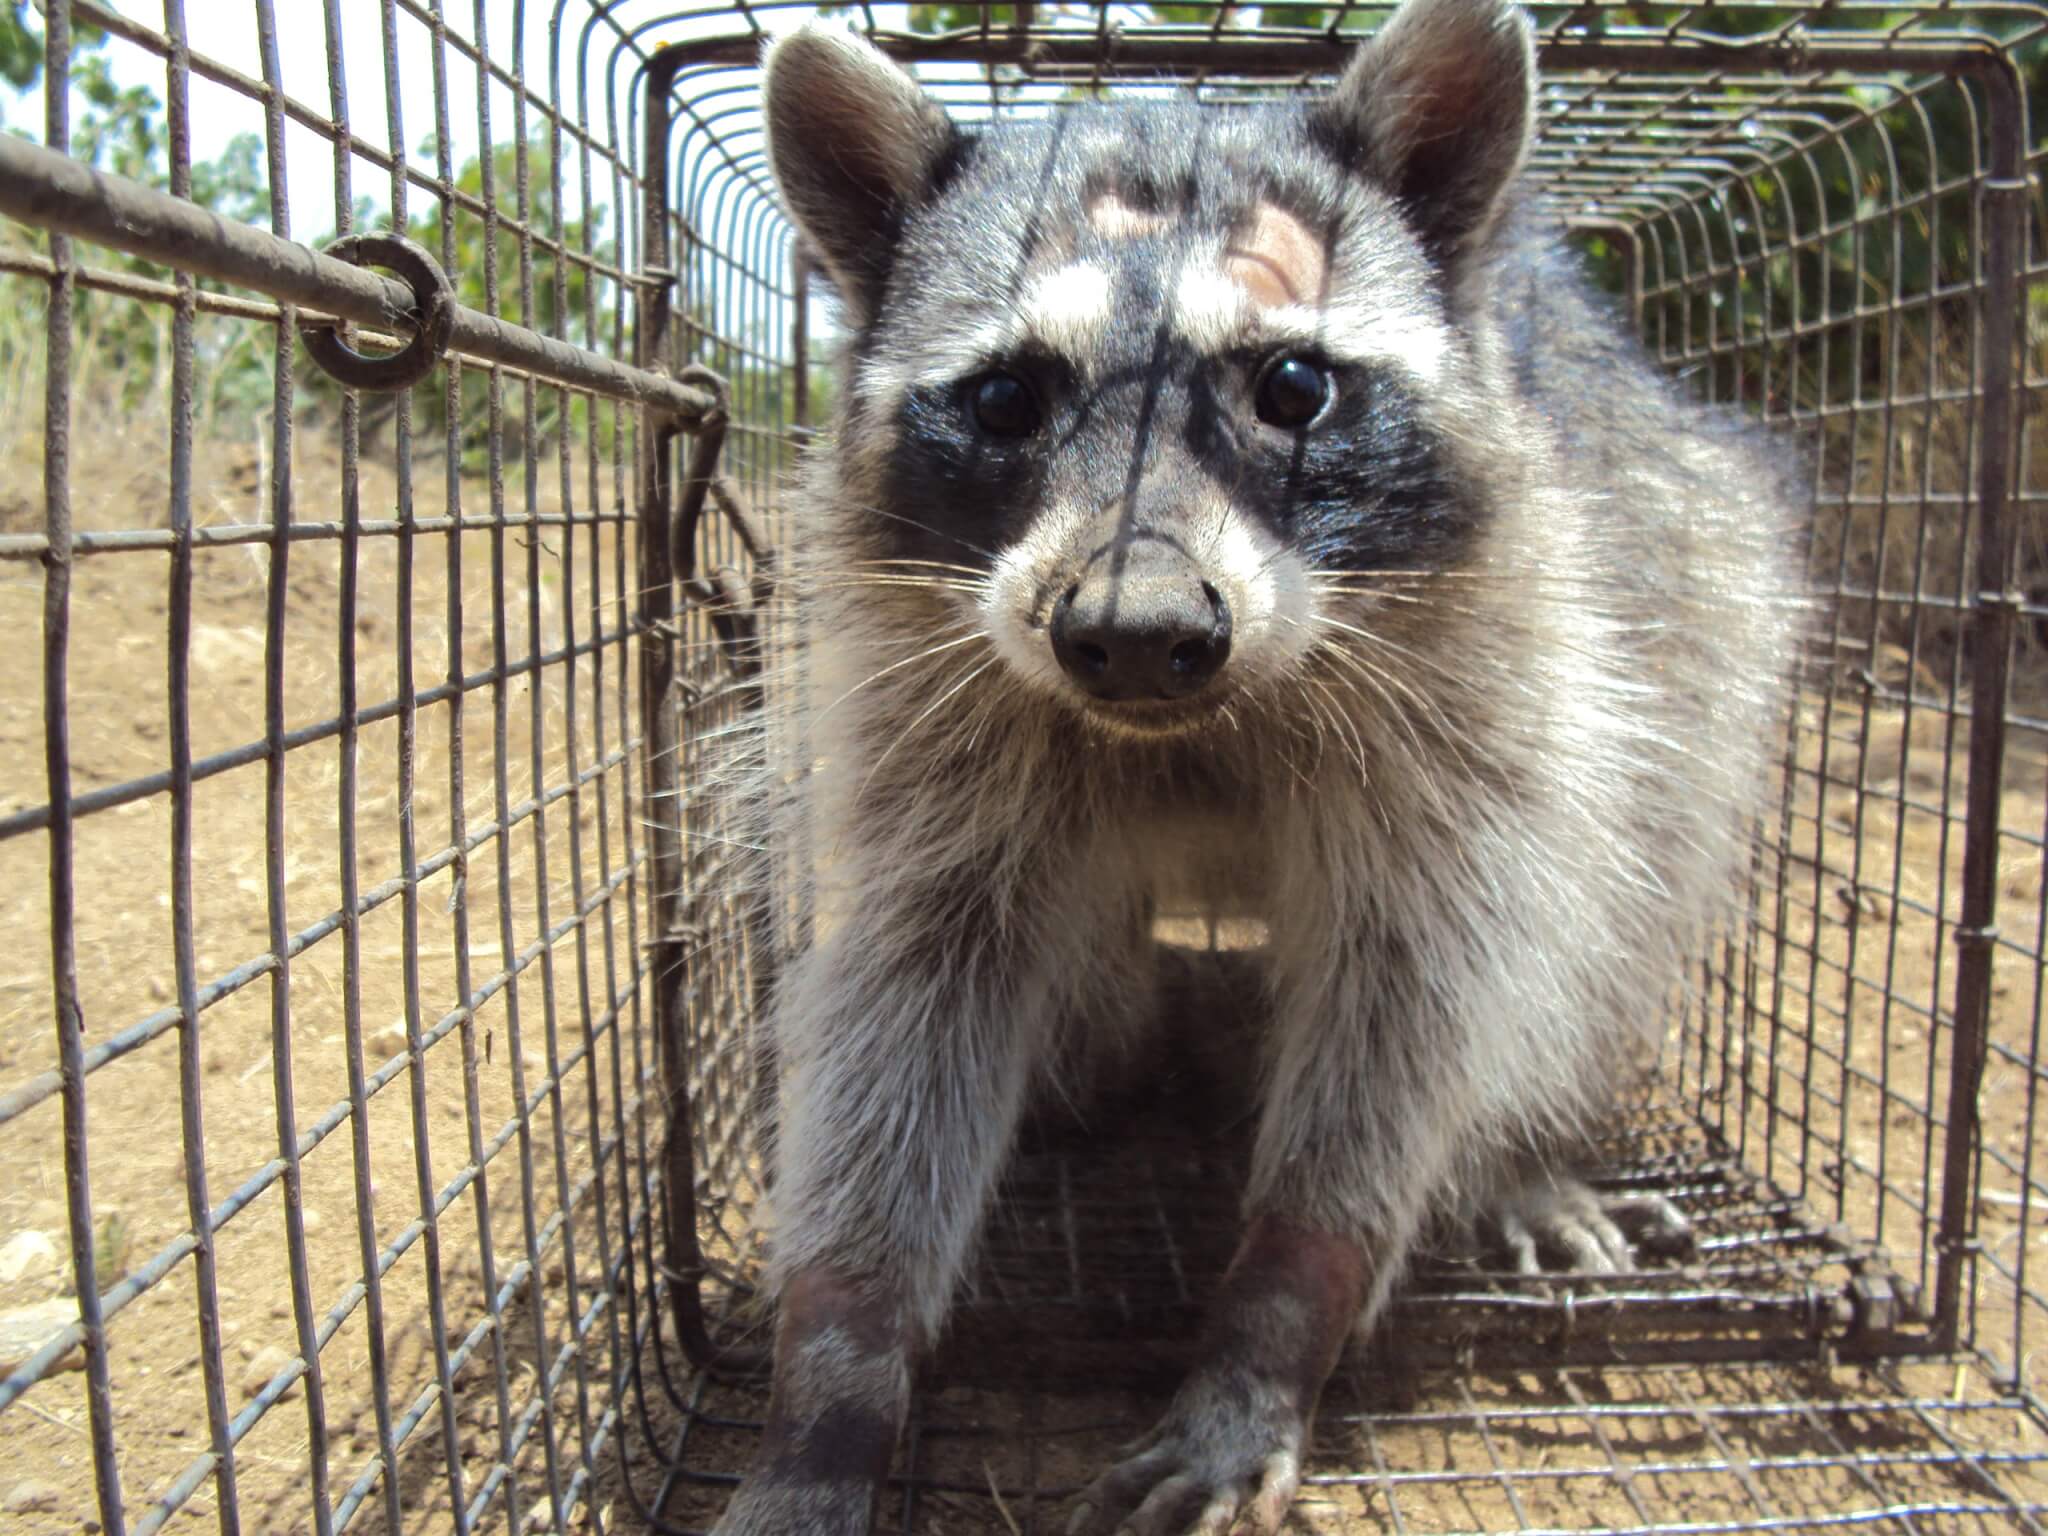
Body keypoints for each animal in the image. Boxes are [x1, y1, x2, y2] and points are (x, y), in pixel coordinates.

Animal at [713, 0, 1800, 1530]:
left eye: (1291, 387)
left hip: (1684, 573)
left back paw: (1523, 1152)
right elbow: (913, 985)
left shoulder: (1496, 667)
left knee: (1632, 865)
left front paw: (1279, 1312)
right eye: (1004, 400)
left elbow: (1415, 1000)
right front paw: (839, 1365)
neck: (1189, 727)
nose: (1134, 638)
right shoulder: (923, 687)